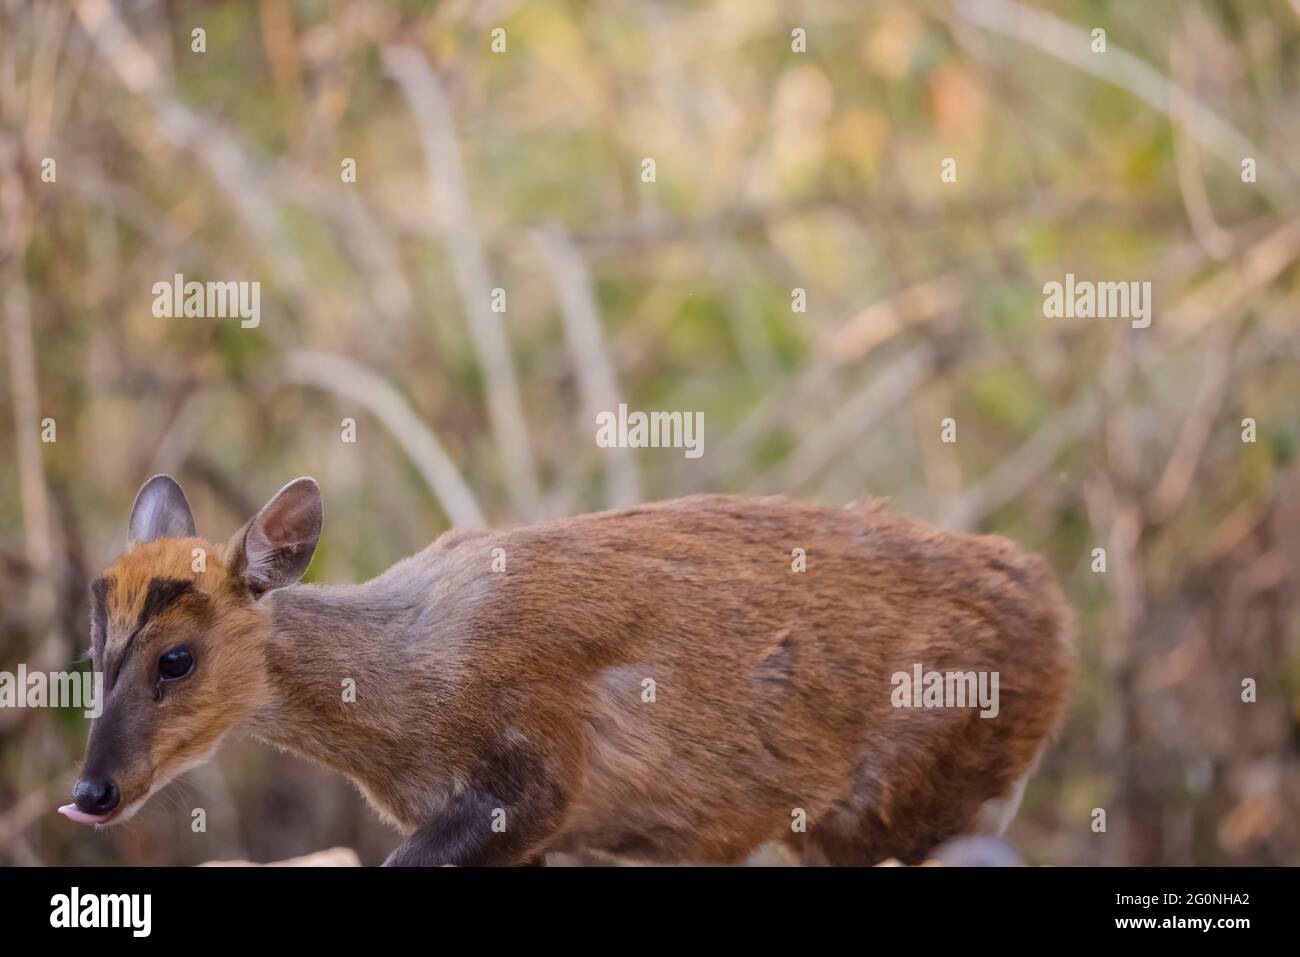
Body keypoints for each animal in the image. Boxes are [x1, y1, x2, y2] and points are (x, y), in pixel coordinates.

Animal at [61, 474, 1073, 866]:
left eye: (177, 657)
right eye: (93, 646)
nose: (90, 790)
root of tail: (1056, 609)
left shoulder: (538, 776)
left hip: (907, 800)